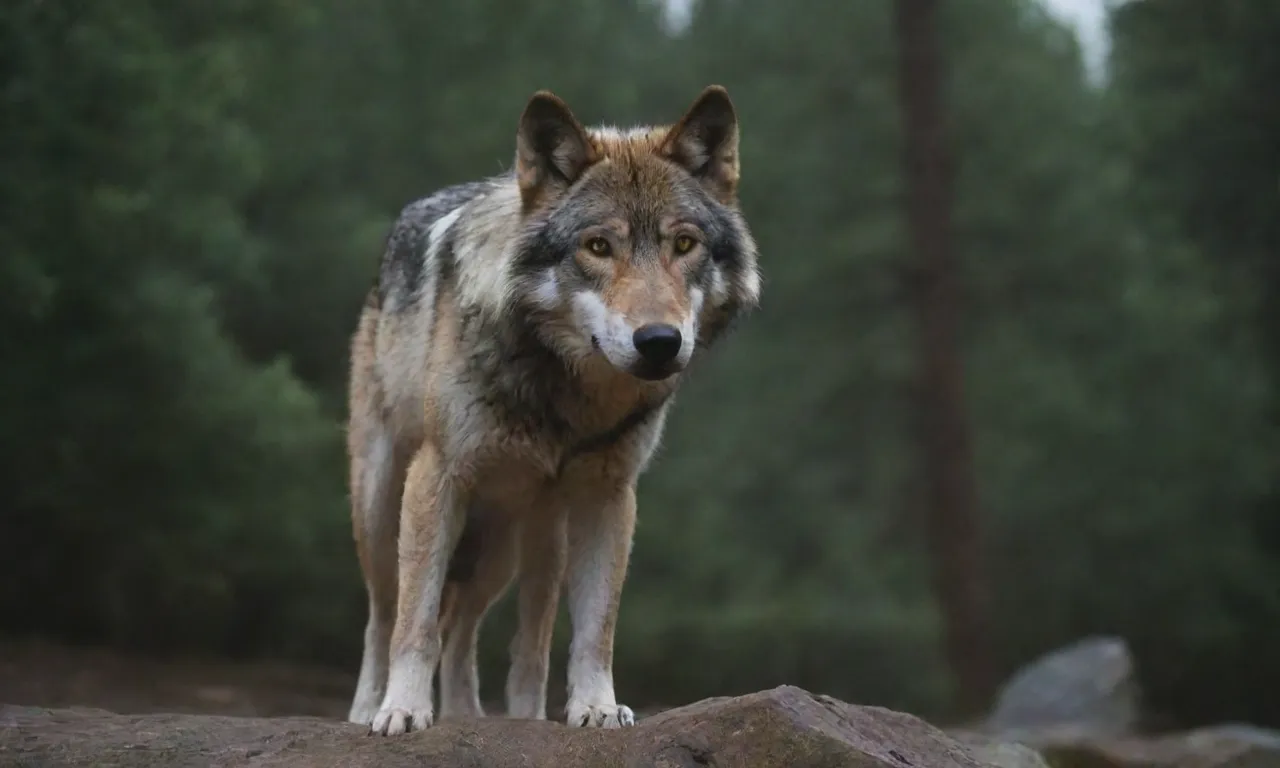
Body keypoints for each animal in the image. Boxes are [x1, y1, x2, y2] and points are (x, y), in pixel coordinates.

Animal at [345, 84, 761, 736]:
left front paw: (596, 707)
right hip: (383, 506)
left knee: (489, 636)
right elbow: (414, 622)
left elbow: (594, 629)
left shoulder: (607, 496)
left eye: (684, 244)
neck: (567, 393)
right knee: (386, 614)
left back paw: (486, 718)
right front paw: (403, 711)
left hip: (520, 543)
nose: (659, 341)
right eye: (598, 246)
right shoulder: (438, 479)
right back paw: (370, 709)